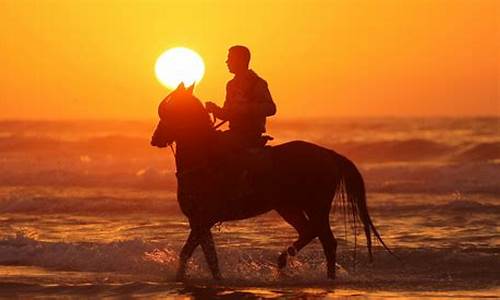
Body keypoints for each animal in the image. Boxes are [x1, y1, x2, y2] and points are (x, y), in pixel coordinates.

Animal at [150, 82, 392, 282]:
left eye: (171, 111)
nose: (155, 139)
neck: (204, 157)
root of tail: (328, 154)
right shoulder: (198, 221)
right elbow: (204, 256)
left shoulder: (203, 219)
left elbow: (194, 254)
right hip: (288, 207)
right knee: (309, 231)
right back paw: (283, 261)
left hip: (316, 206)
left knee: (327, 241)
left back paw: (326, 277)